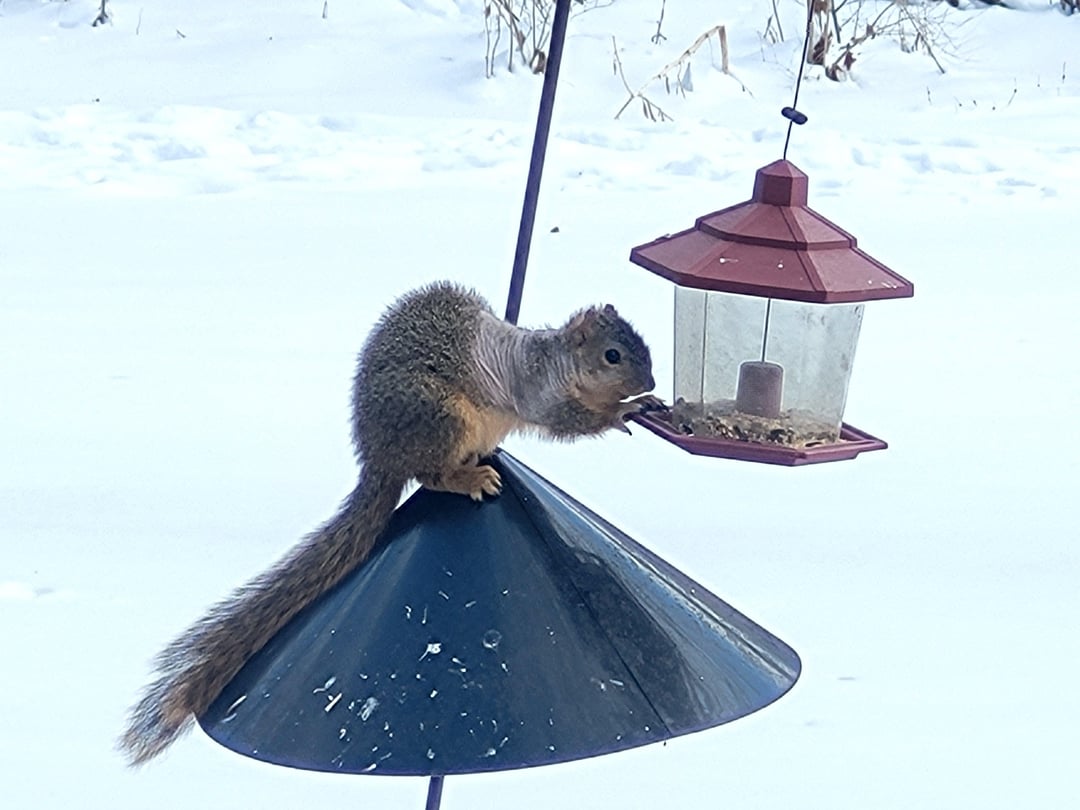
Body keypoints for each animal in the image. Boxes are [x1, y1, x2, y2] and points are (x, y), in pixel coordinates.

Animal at [119, 280, 663, 766]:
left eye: (642, 344)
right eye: (613, 355)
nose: (652, 385)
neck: (558, 361)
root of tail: (379, 460)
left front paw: (645, 405)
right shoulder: (537, 392)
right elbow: (571, 422)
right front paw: (624, 411)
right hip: (441, 417)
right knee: (432, 474)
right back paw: (469, 478)